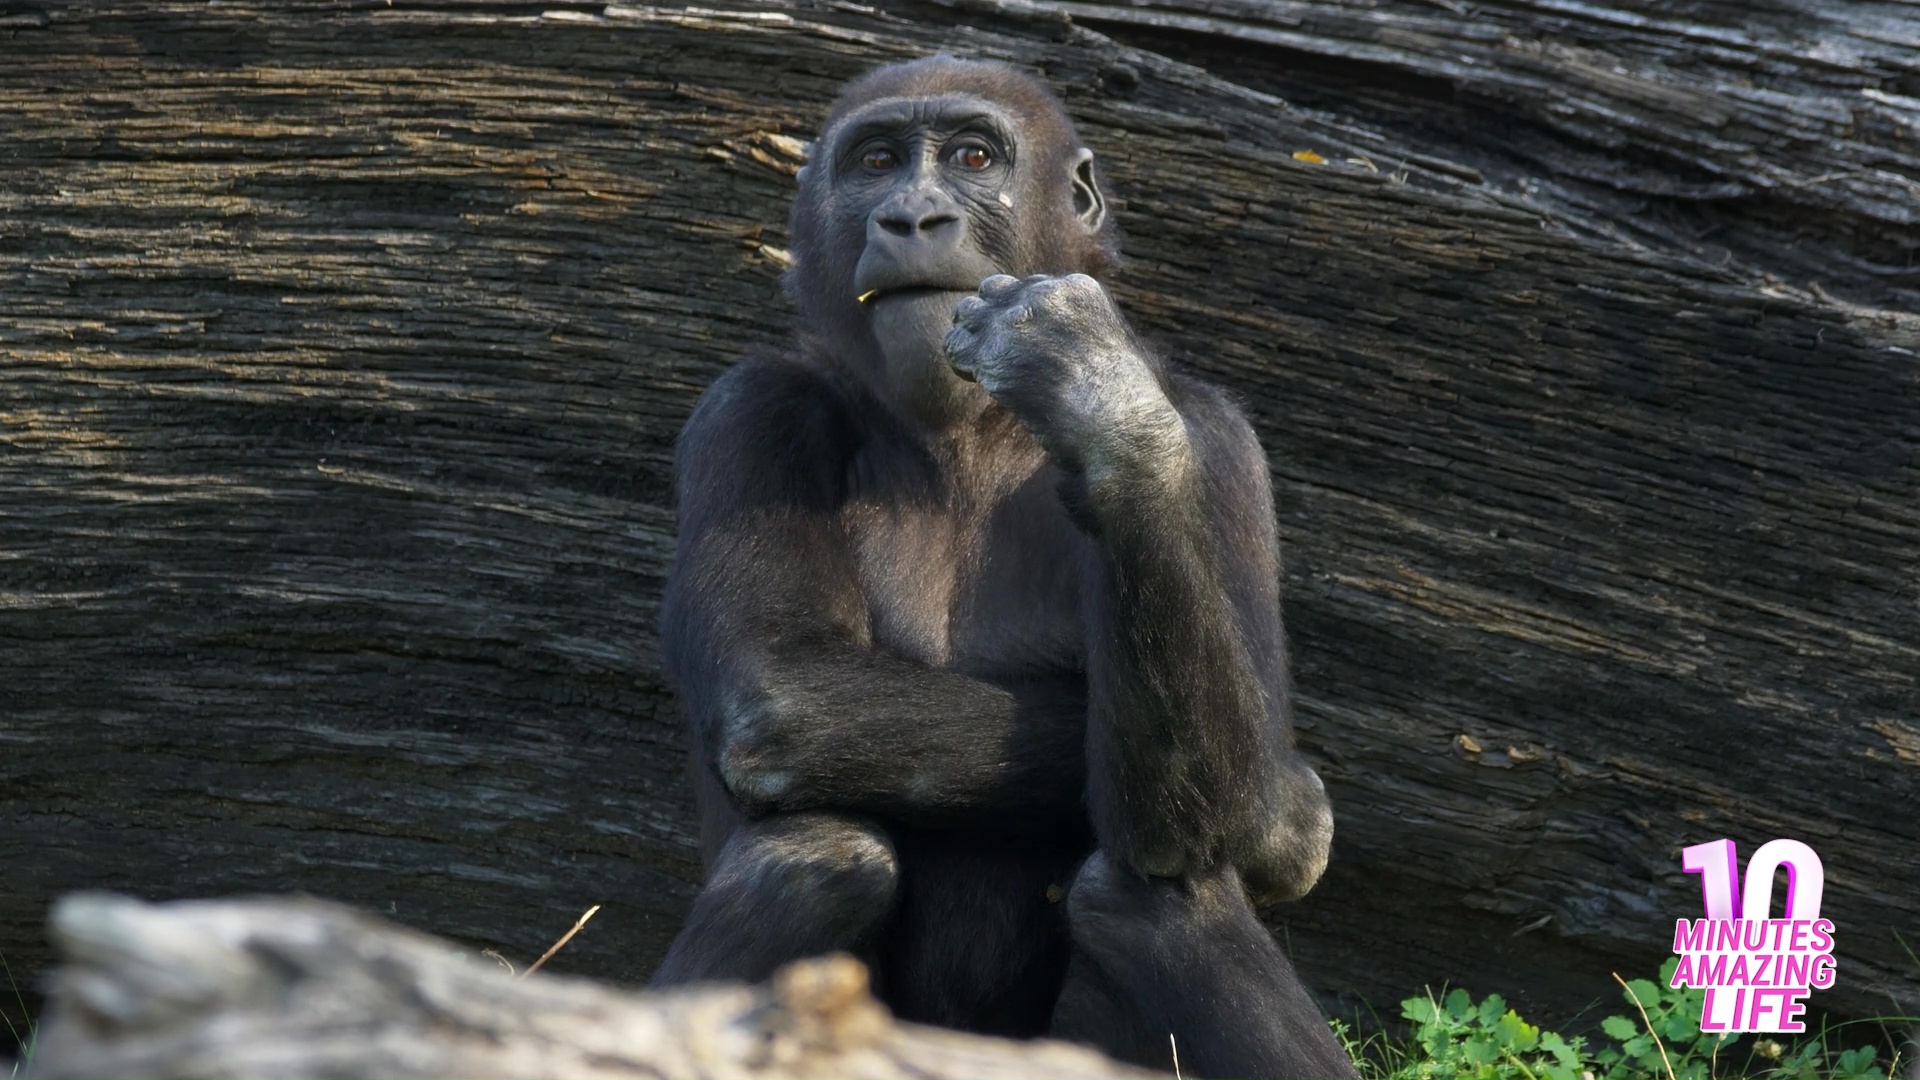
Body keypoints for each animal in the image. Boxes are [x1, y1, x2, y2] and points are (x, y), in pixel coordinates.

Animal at [652, 56, 1357, 1080]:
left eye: (973, 158)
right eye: (876, 161)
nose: (910, 218)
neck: (971, 433)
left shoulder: (1221, 440)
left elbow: (1233, 789)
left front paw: (1099, 397)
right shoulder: (748, 409)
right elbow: (780, 695)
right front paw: (1295, 808)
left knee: (1156, 887)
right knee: (812, 858)